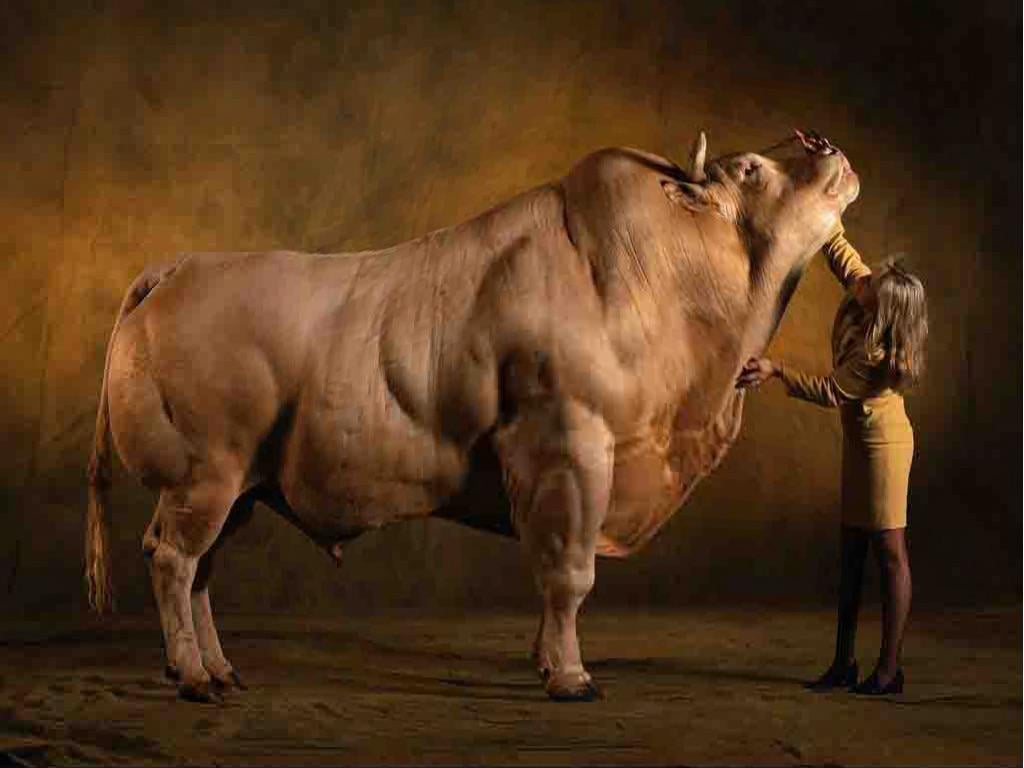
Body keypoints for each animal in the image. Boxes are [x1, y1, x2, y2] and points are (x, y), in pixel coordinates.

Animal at [85, 130, 859, 702]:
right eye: (752, 167)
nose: (828, 145)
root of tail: (180, 266)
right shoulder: (570, 447)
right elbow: (568, 571)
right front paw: (570, 677)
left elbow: (552, 571)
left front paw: (546, 660)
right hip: (203, 474)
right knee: (173, 559)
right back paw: (191, 677)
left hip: (239, 485)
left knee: (202, 569)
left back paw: (219, 669)